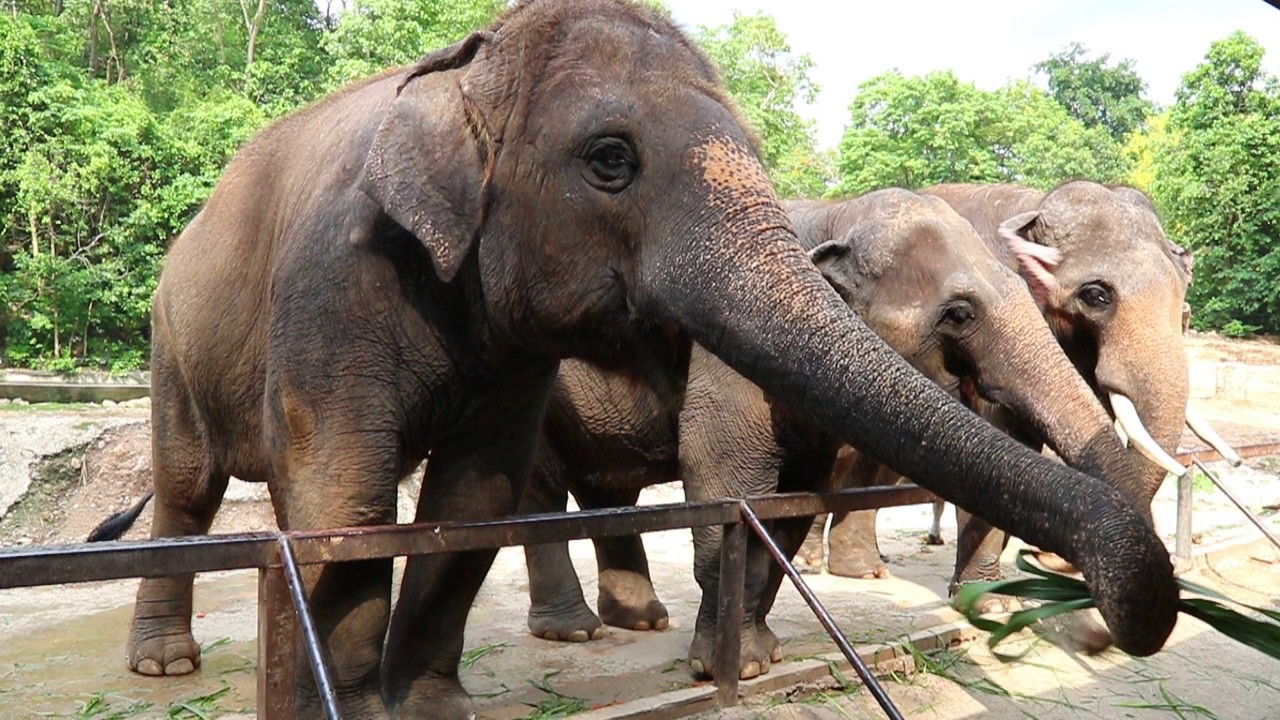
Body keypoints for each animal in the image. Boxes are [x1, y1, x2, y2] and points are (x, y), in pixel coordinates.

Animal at [519, 188, 1156, 679]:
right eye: (958, 312)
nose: (1097, 637)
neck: (835, 214)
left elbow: (794, 502)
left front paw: (763, 654)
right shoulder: (731, 350)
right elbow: (727, 476)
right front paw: (732, 668)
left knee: (606, 494)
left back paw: (642, 620)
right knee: (540, 497)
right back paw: (574, 632)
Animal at [814, 180, 1240, 585]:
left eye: (1183, 310)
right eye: (1096, 295)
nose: (1233, 461)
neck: (1034, 205)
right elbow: (1000, 434)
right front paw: (988, 598)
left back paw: (863, 570)